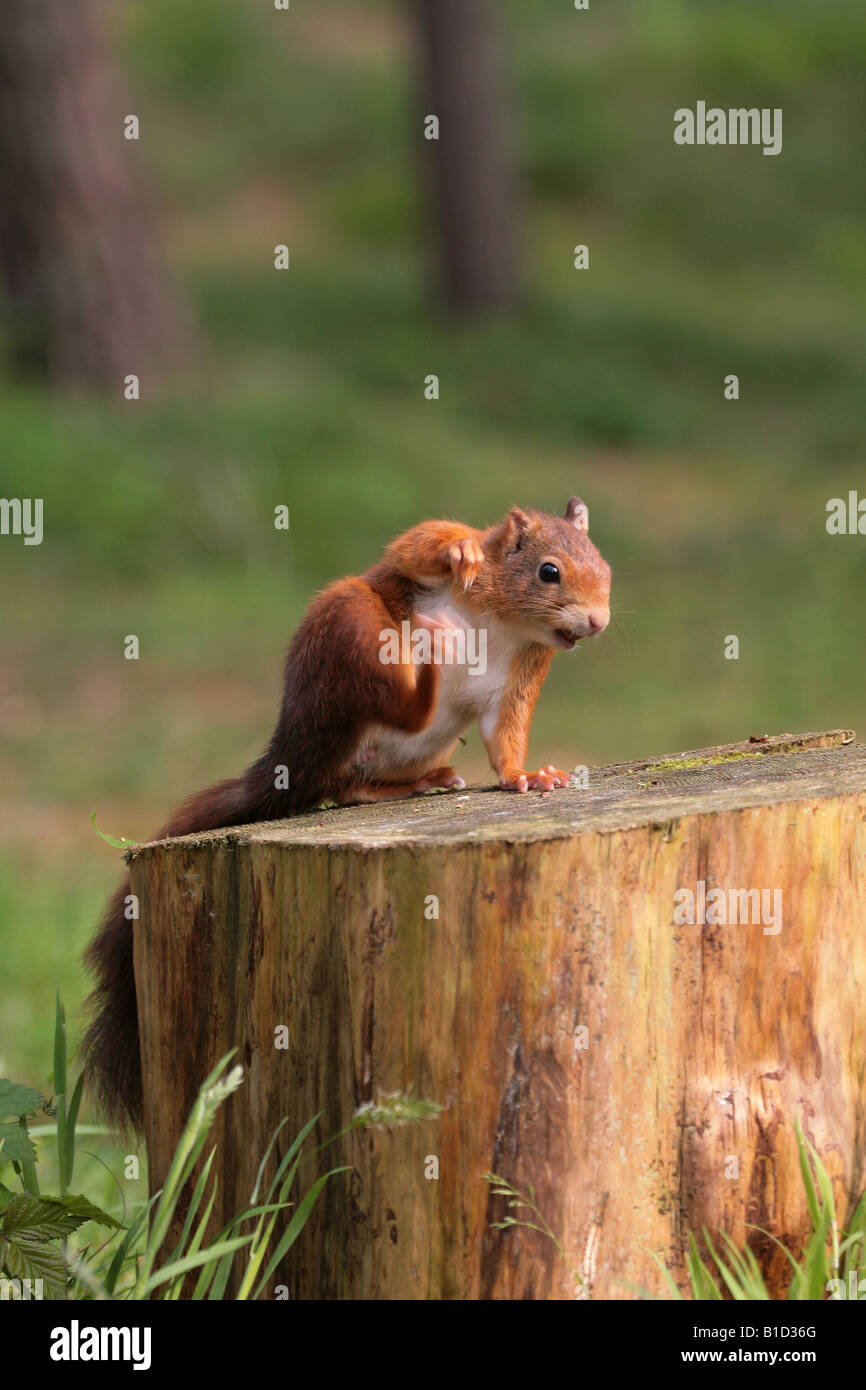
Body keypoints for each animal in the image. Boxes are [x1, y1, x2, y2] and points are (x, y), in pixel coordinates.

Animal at [82, 498, 611, 1131]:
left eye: (605, 565)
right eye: (548, 572)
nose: (598, 621)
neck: (505, 622)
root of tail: (294, 756)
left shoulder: (520, 677)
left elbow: (505, 737)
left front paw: (528, 776)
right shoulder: (430, 574)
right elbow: (415, 546)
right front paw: (458, 547)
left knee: (357, 781)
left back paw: (425, 774)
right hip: (349, 623)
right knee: (382, 714)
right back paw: (428, 656)